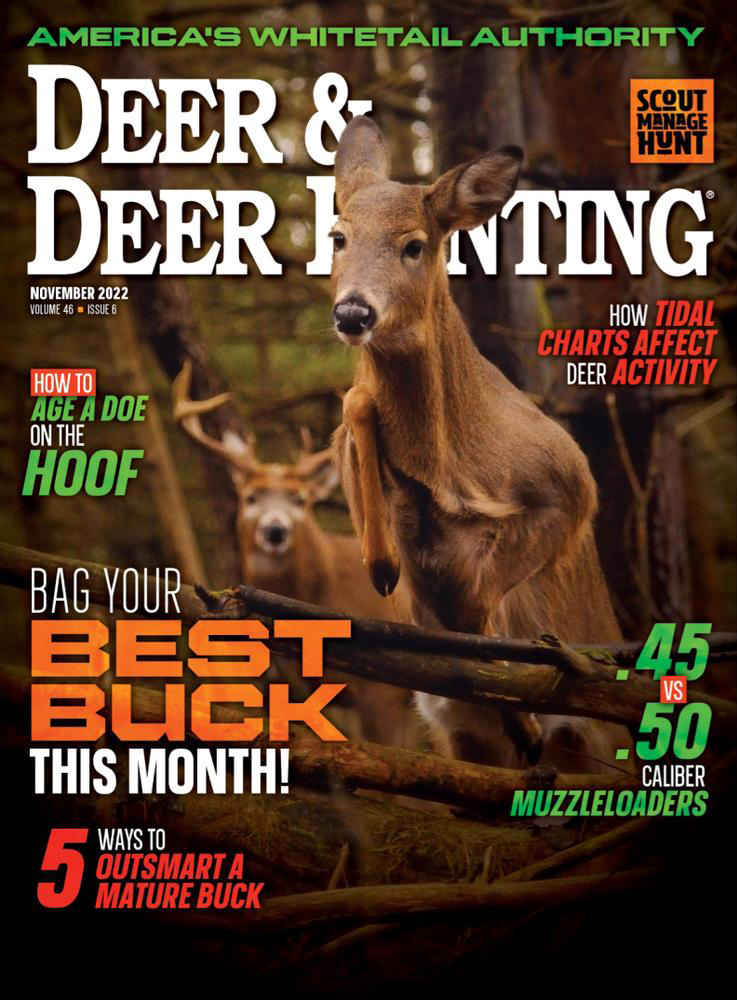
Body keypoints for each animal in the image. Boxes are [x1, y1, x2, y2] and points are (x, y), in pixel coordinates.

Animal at [329, 116, 632, 773]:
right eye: (338, 236)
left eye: (414, 245)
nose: (353, 313)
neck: (452, 469)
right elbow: (356, 401)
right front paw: (382, 563)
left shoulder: (571, 486)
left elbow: (475, 602)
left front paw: (525, 714)